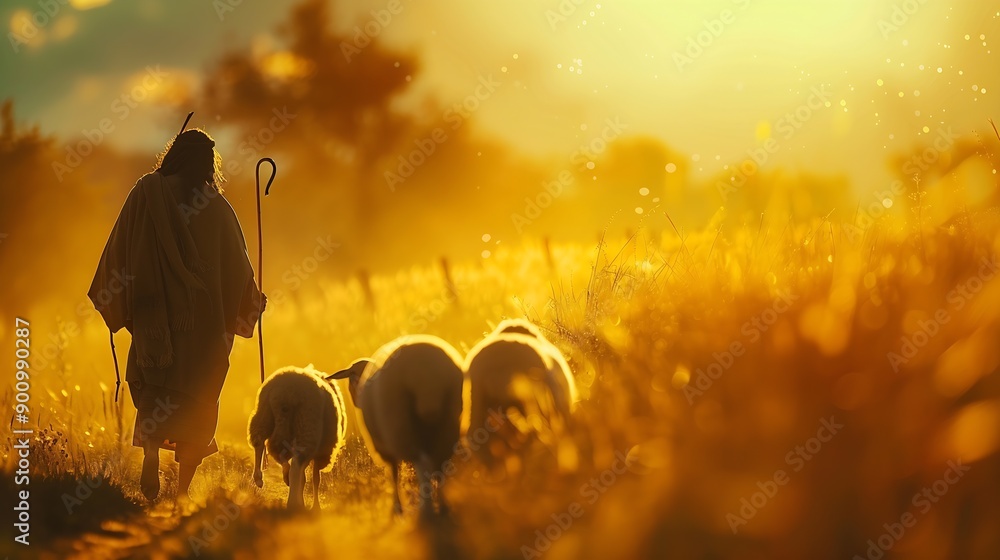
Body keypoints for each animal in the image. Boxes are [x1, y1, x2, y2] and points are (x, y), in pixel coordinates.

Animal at [247, 365, 347, 510]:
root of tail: (286, 392)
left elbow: (304, 477)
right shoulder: (322, 452)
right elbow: (315, 478)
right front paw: (316, 506)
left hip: (264, 414)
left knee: (260, 442)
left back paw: (260, 478)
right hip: (307, 429)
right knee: (295, 464)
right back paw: (293, 502)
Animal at [328, 335, 464, 517]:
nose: (357, 399)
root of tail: (426, 376)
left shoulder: (383, 443)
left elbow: (393, 471)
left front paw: (397, 508)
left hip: (401, 426)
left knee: (423, 464)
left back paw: (427, 509)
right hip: (447, 424)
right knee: (439, 464)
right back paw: (442, 507)